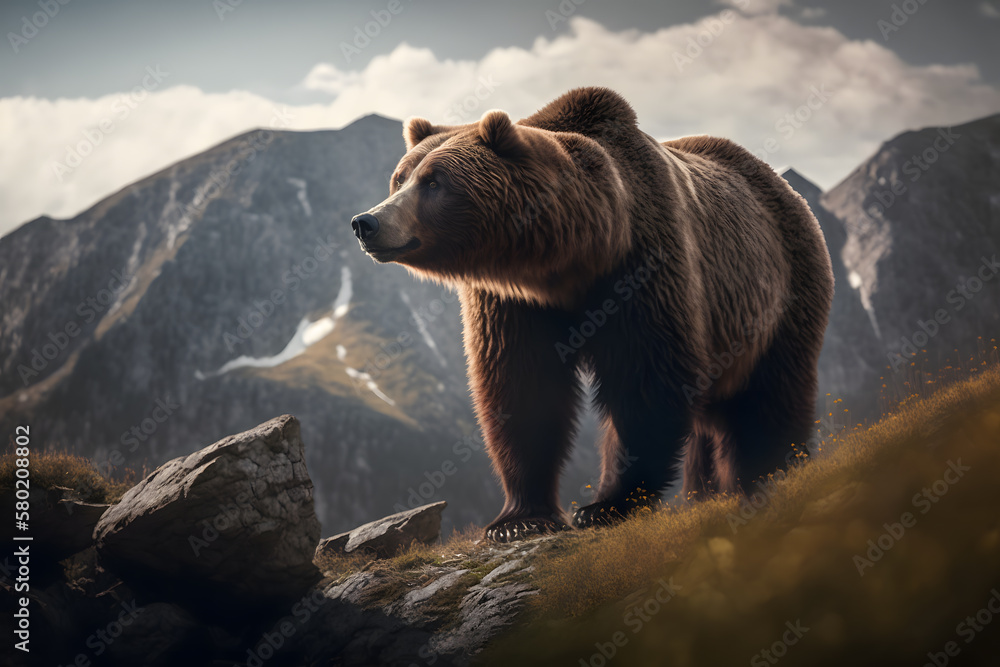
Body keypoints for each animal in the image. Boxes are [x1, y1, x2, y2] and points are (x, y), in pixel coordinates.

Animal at [351, 87, 834, 542]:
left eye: (434, 181)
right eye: (399, 179)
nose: (366, 222)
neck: (565, 260)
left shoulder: (643, 269)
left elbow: (645, 381)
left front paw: (605, 505)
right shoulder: (513, 304)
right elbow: (521, 389)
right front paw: (518, 520)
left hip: (779, 291)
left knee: (772, 393)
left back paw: (769, 476)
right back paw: (708, 492)